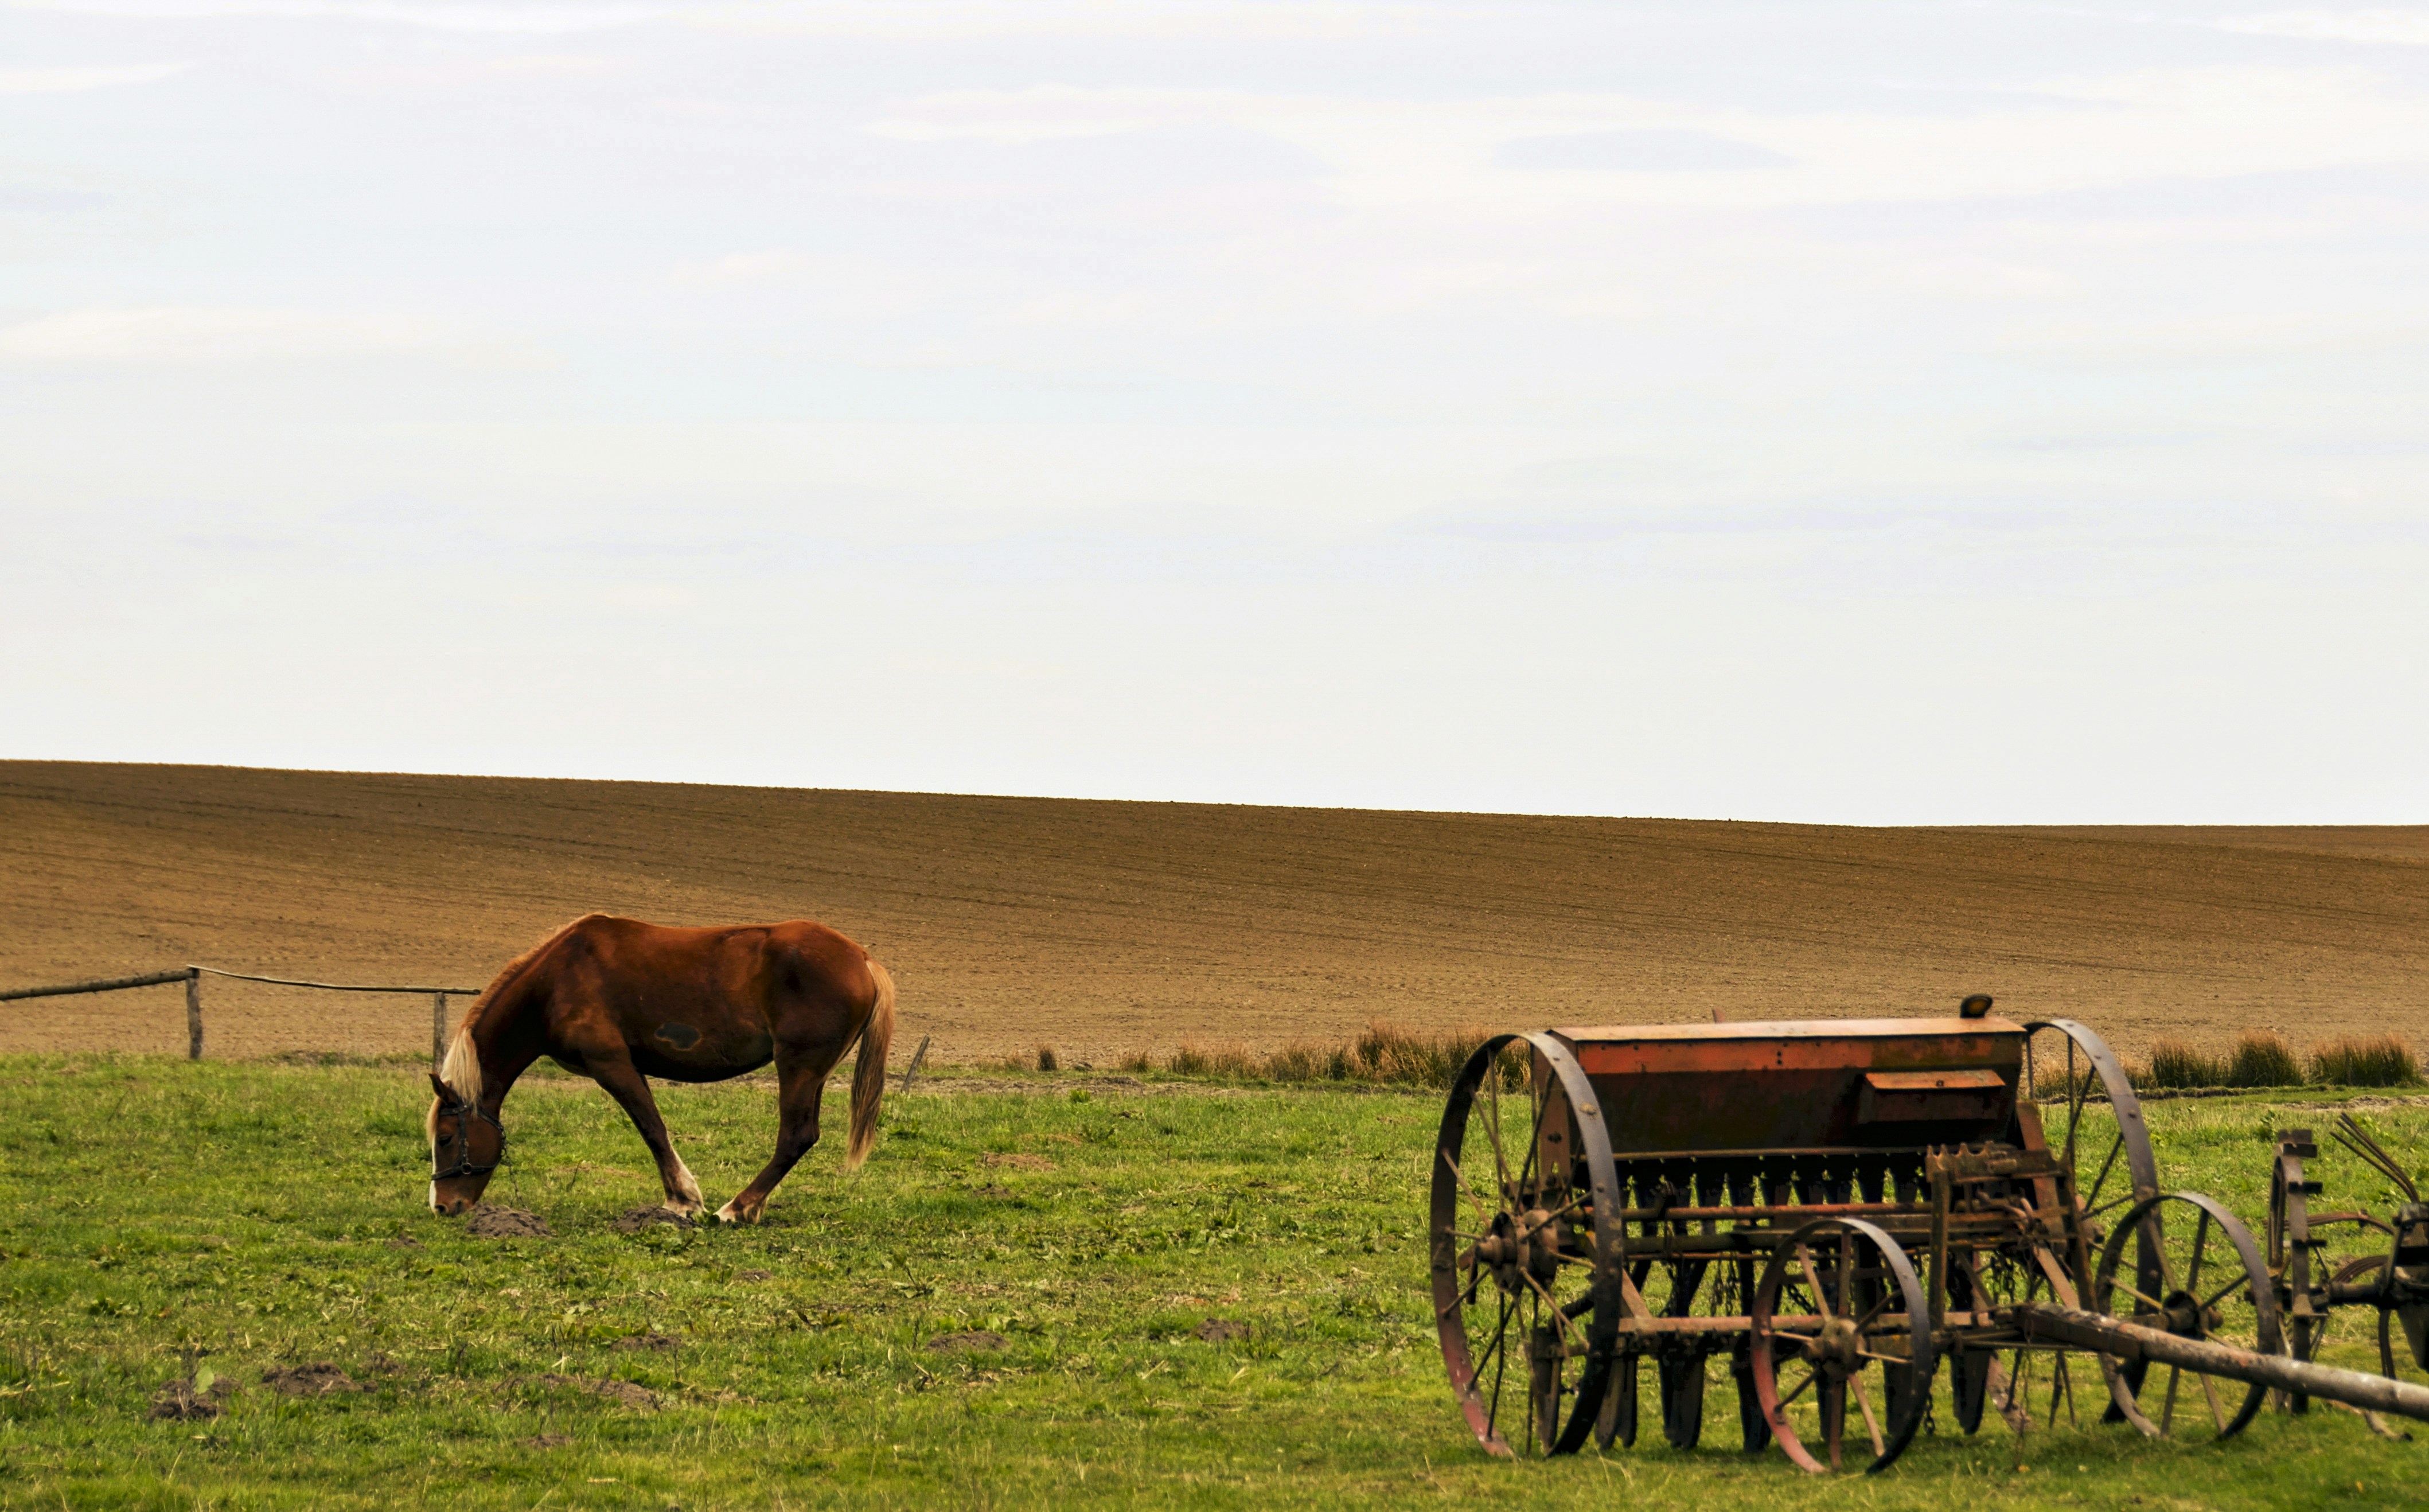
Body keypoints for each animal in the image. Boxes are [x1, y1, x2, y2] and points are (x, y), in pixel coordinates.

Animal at [426, 913, 895, 1224]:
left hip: (797, 1068)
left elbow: (652, 1128)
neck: (555, 981)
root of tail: (863, 960)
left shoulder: (612, 1065)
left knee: (796, 1137)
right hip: (812, 1074)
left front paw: (684, 1200)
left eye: (446, 1138)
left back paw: (737, 1208)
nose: (442, 1206)